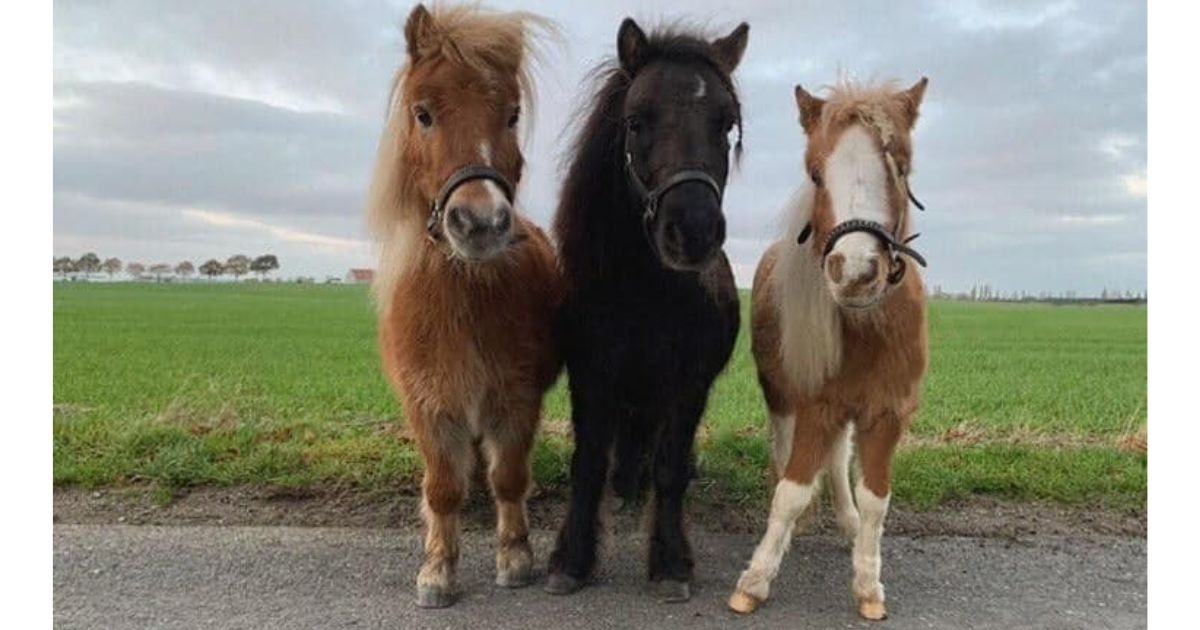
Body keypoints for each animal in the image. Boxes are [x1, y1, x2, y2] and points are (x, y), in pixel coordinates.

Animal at [366, 4, 560, 609]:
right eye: (423, 113)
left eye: (512, 115)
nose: (480, 223)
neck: (466, 295)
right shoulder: (427, 404)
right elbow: (443, 487)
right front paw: (438, 567)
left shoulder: (517, 398)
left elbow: (510, 478)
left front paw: (515, 555)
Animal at [545, 18, 749, 603]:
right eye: (636, 121)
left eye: (727, 124)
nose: (693, 232)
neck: (643, 292)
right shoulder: (591, 377)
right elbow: (588, 464)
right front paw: (571, 559)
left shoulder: (689, 386)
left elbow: (672, 469)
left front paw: (671, 562)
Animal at [726, 77, 930, 620]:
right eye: (816, 174)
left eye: (901, 165)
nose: (856, 272)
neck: (866, 330)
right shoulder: (816, 405)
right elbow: (791, 492)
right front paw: (755, 580)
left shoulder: (886, 413)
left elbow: (876, 497)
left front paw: (869, 584)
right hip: (782, 395)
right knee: (789, 451)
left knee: (839, 459)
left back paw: (847, 520)